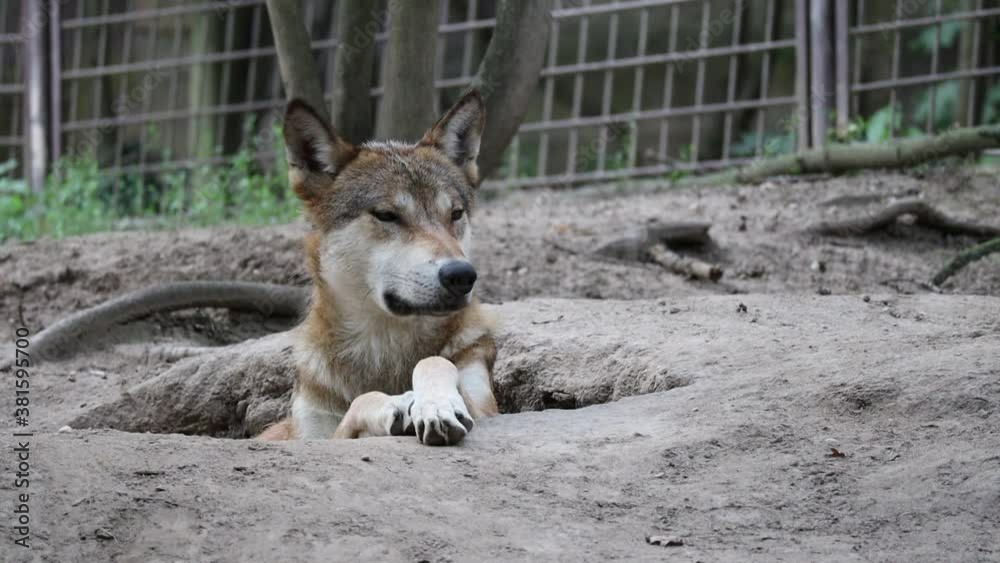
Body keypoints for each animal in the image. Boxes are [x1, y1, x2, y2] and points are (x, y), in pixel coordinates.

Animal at [258, 91, 498, 445]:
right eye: (387, 215)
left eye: (455, 214)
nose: (461, 275)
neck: (384, 350)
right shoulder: (317, 437)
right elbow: (363, 399)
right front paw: (398, 403)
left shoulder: (485, 406)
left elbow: (434, 360)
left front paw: (437, 405)